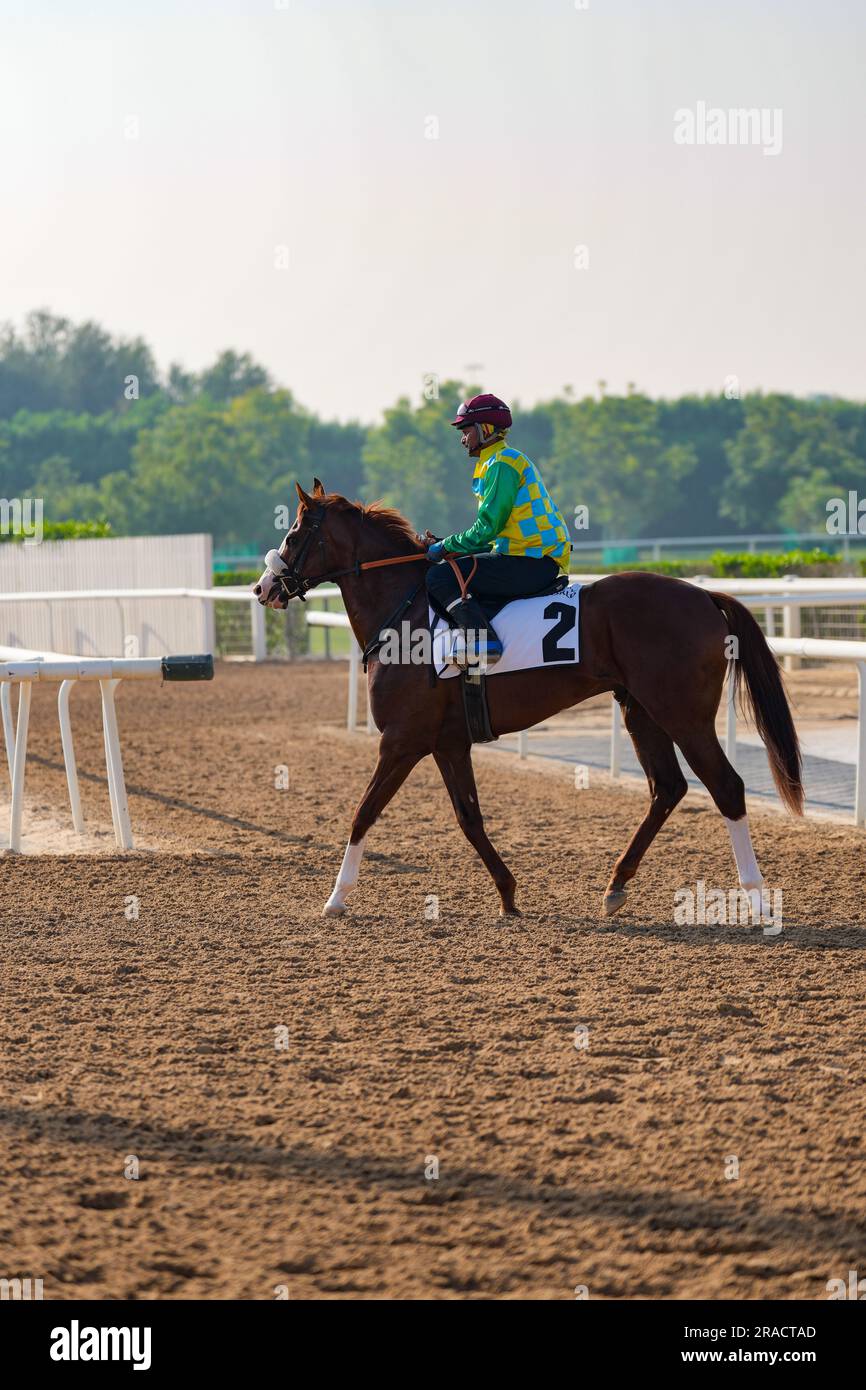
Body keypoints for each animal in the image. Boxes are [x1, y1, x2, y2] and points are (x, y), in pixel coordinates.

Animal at [255, 481, 803, 920]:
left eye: (294, 533)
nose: (263, 587)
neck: (405, 614)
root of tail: (706, 596)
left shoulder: (401, 741)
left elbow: (363, 812)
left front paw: (336, 897)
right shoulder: (447, 744)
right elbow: (469, 818)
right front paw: (508, 892)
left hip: (683, 716)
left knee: (726, 787)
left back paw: (756, 898)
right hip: (641, 712)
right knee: (667, 789)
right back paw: (615, 886)